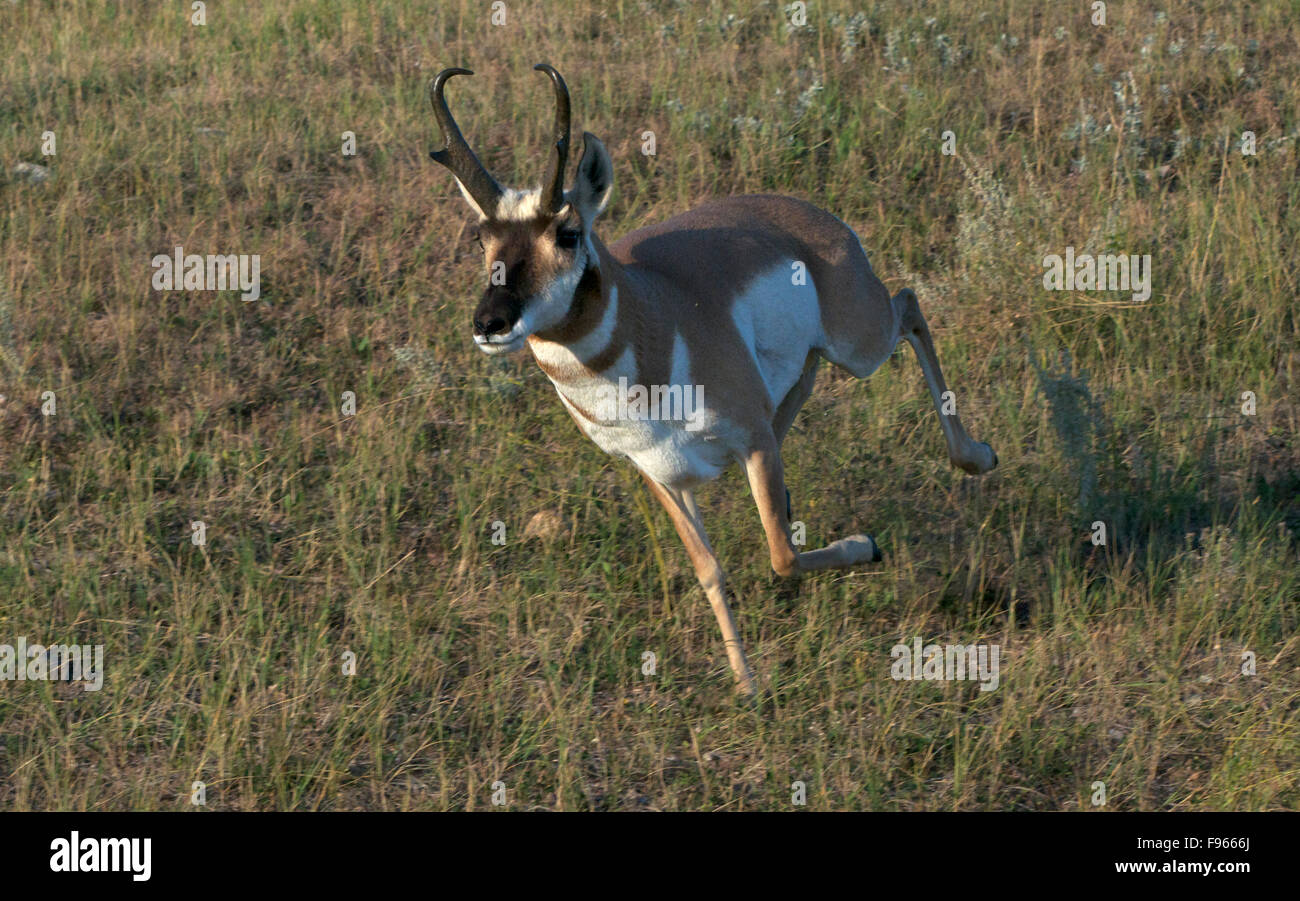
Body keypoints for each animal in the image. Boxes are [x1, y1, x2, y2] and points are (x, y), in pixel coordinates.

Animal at [429, 64, 998, 697]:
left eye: (569, 233)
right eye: (483, 238)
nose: (489, 323)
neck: (653, 316)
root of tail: (809, 215)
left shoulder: (751, 442)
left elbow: (781, 555)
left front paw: (866, 546)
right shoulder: (660, 474)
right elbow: (708, 568)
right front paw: (745, 682)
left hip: (860, 343)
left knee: (909, 306)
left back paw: (978, 456)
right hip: (815, 364)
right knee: (811, 377)